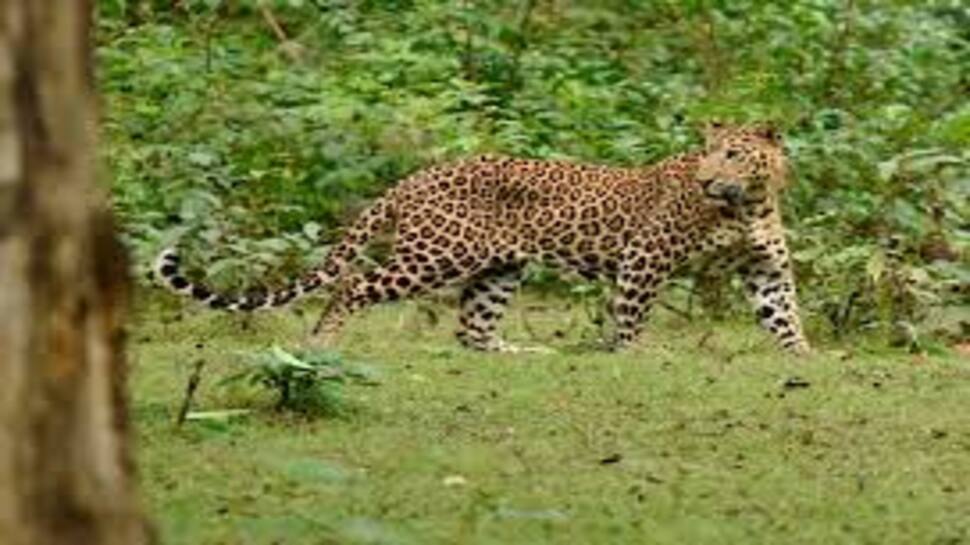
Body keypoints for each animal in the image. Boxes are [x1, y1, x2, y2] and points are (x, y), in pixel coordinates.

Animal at [154, 122, 810, 354]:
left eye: (733, 154)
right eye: (709, 153)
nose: (706, 179)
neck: (750, 204)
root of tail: (414, 175)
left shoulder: (765, 270)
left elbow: (783, 313)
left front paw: (804, 357)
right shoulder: (645, 258)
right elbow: (630, 314)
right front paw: (631, 355)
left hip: (499, 268)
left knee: (471, 327)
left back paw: (514, 352)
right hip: (435, 254)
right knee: (353, 284)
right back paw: (323, 343)